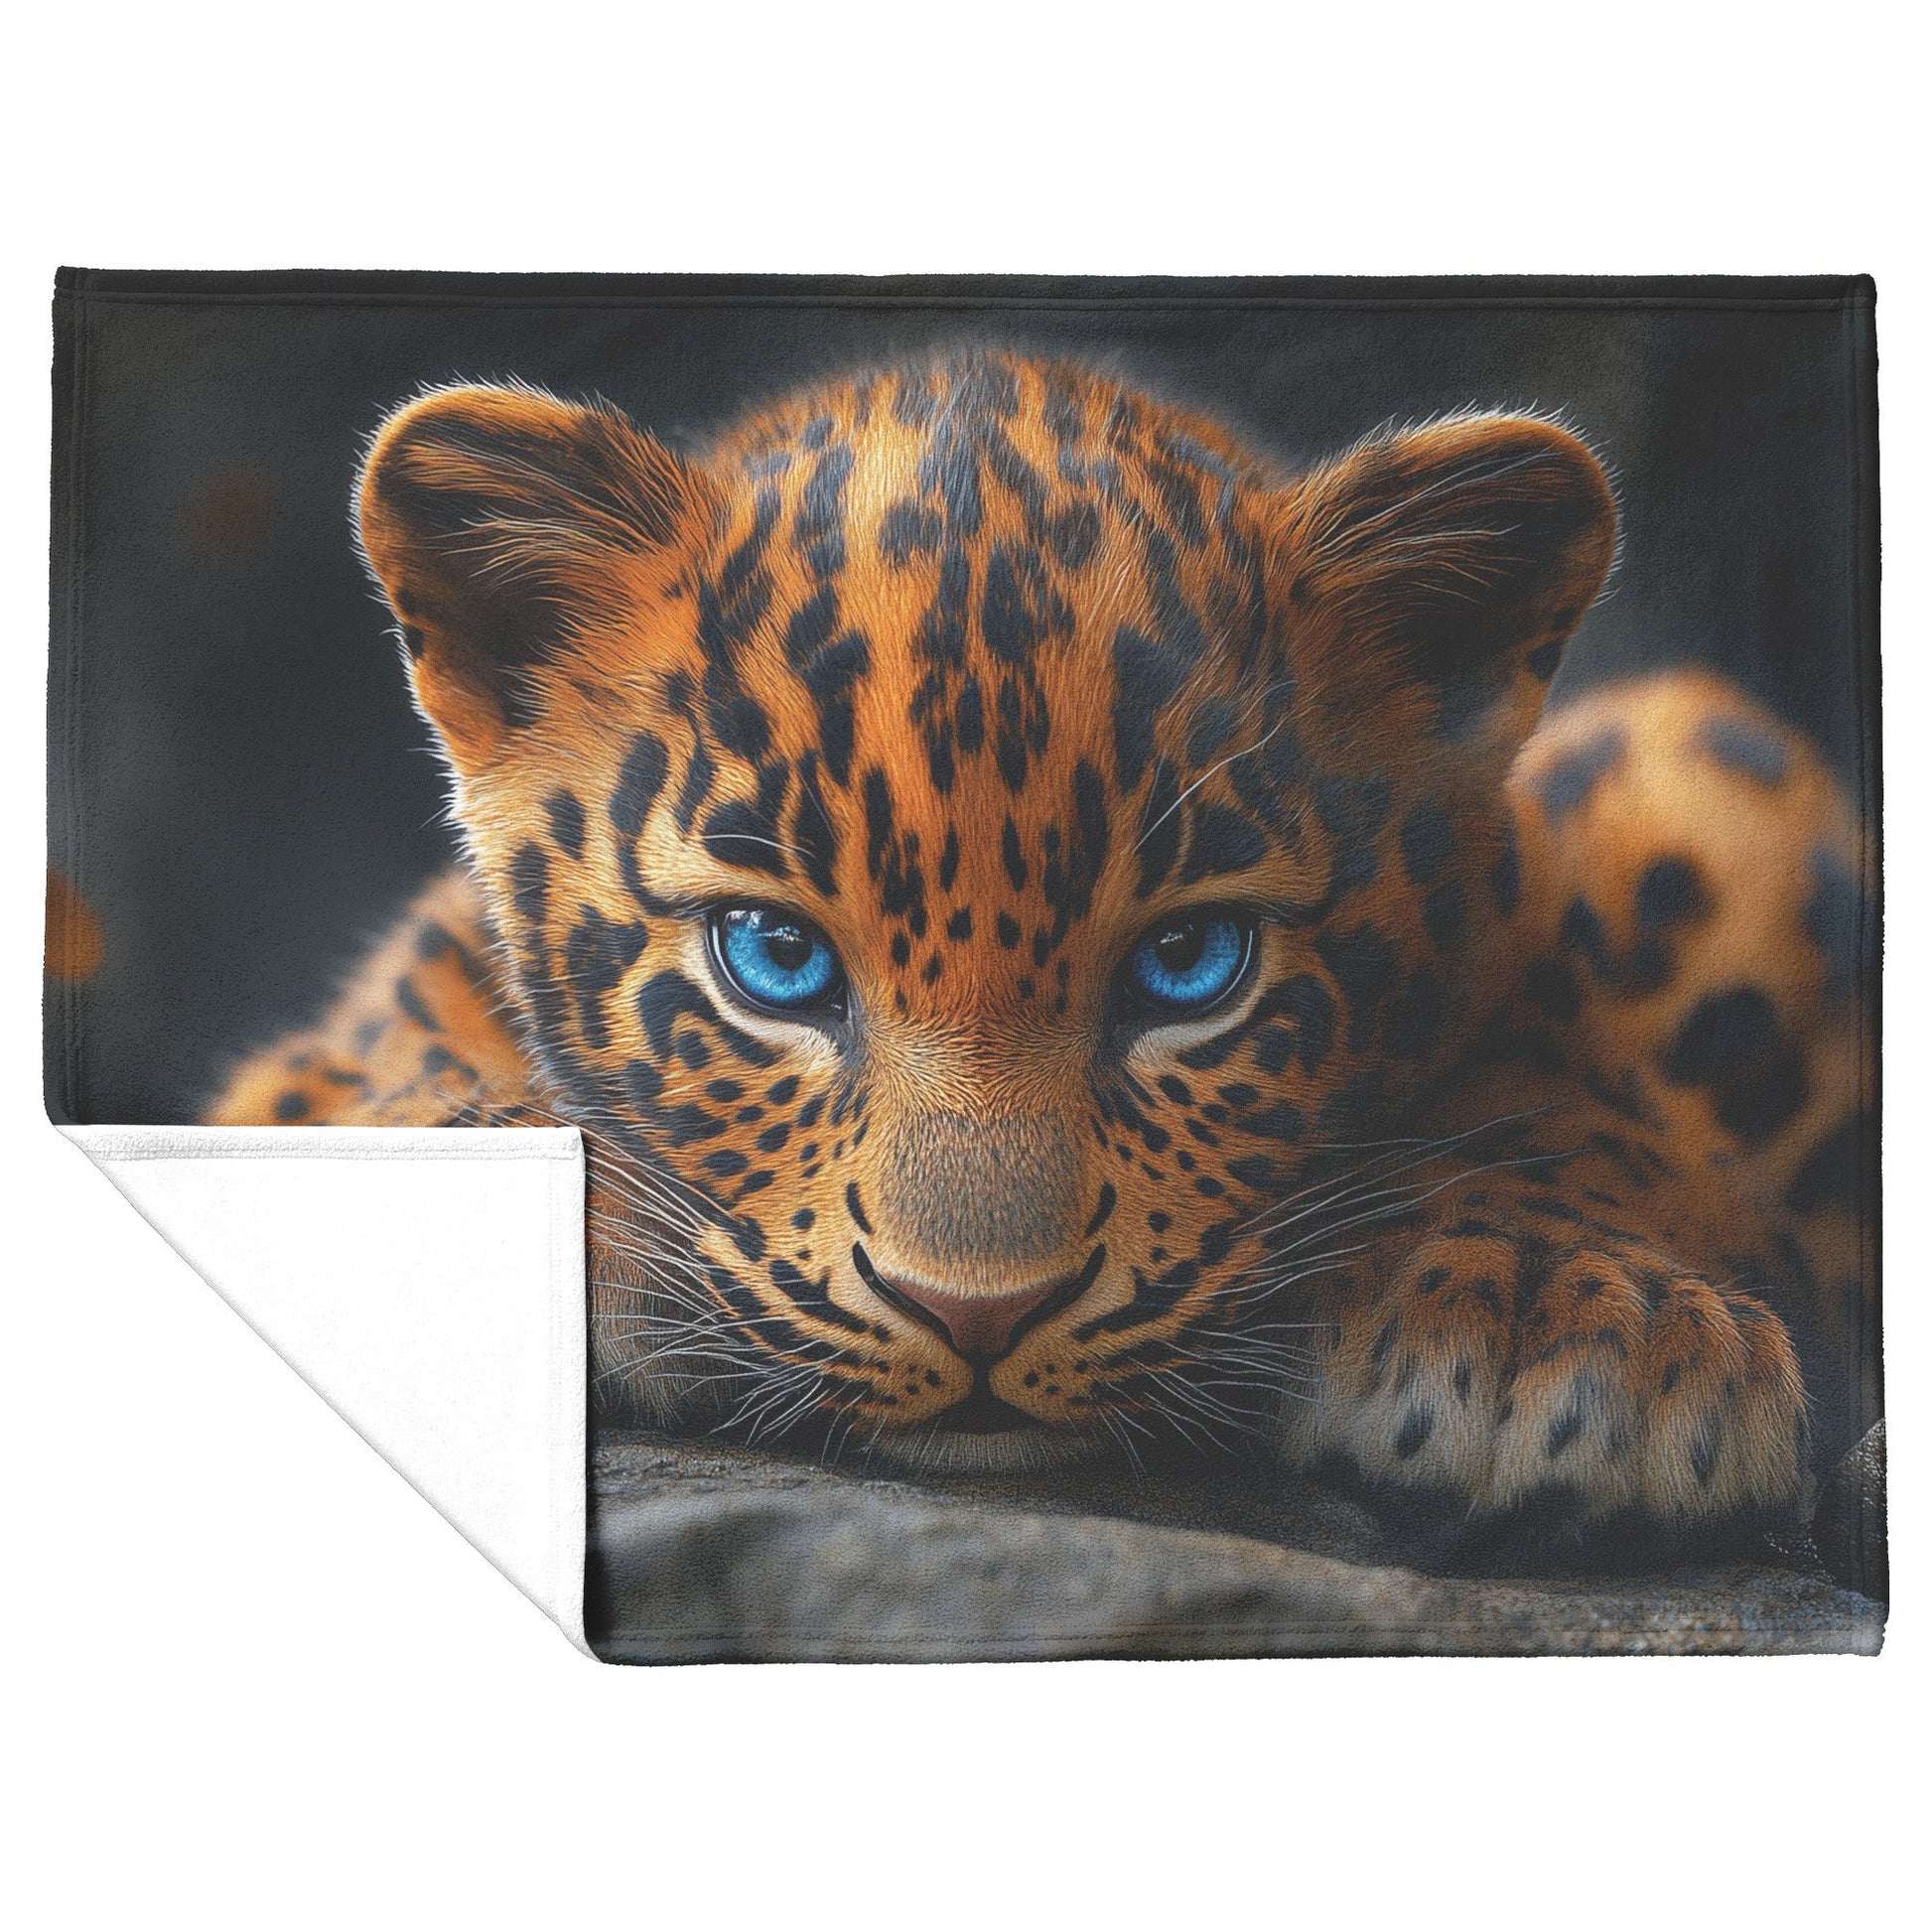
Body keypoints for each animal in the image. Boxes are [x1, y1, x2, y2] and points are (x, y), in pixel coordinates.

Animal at [207, 353, 1875, 1557]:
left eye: (1190, 965)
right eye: (773, 958)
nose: (977, 1315)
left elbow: (1571, 1112)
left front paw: (1567, 1311)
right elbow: (400, 1086)